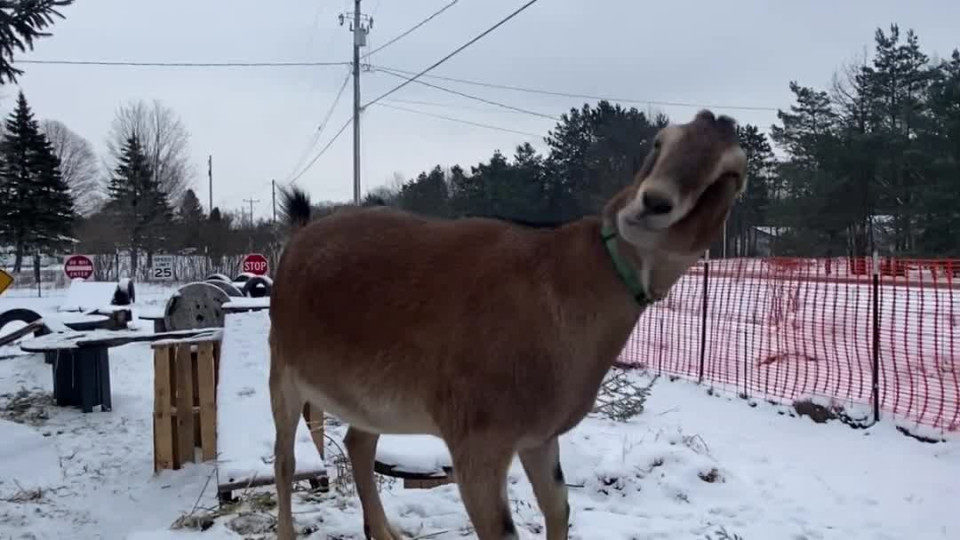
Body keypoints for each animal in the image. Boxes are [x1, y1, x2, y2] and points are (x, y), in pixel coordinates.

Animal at [269, 109, 748, 539]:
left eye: (733, 175)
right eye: (659, 141)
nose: (653, 204)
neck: (561, 290)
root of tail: (300, 235)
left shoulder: (539, 435)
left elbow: (558, 506)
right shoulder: (477, 438)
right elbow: (503, 528)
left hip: (370, 397)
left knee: (358, 445)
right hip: (283, 368)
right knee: (284, 460)